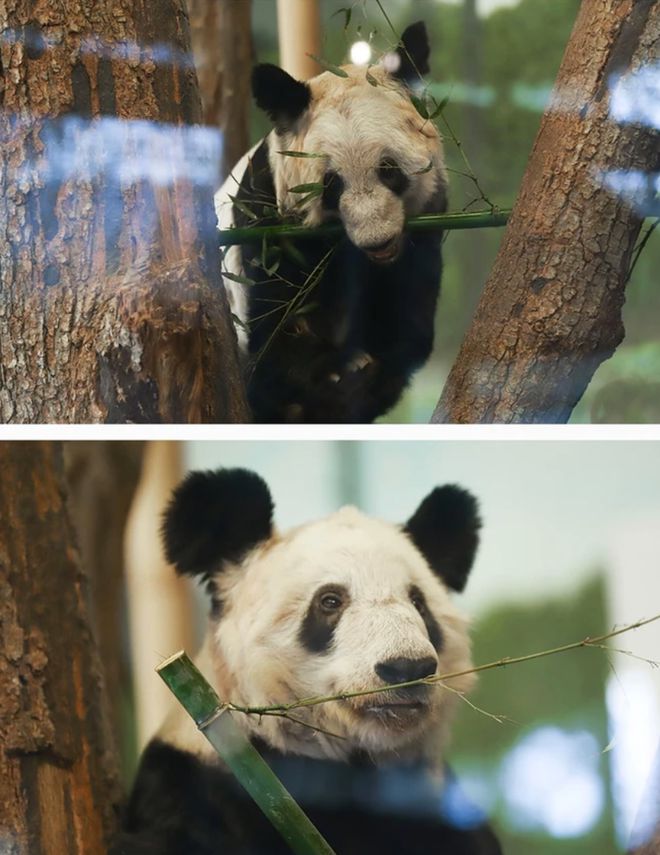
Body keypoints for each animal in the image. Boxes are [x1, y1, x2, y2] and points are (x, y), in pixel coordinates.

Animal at [217, 21, 448, 423]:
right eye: (331, 184)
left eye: (389, 170)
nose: (377, 240)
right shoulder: (269, 225)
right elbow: (273, 339)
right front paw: (332, 376)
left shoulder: (423, 231)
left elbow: (407, 327)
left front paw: (364, 374)